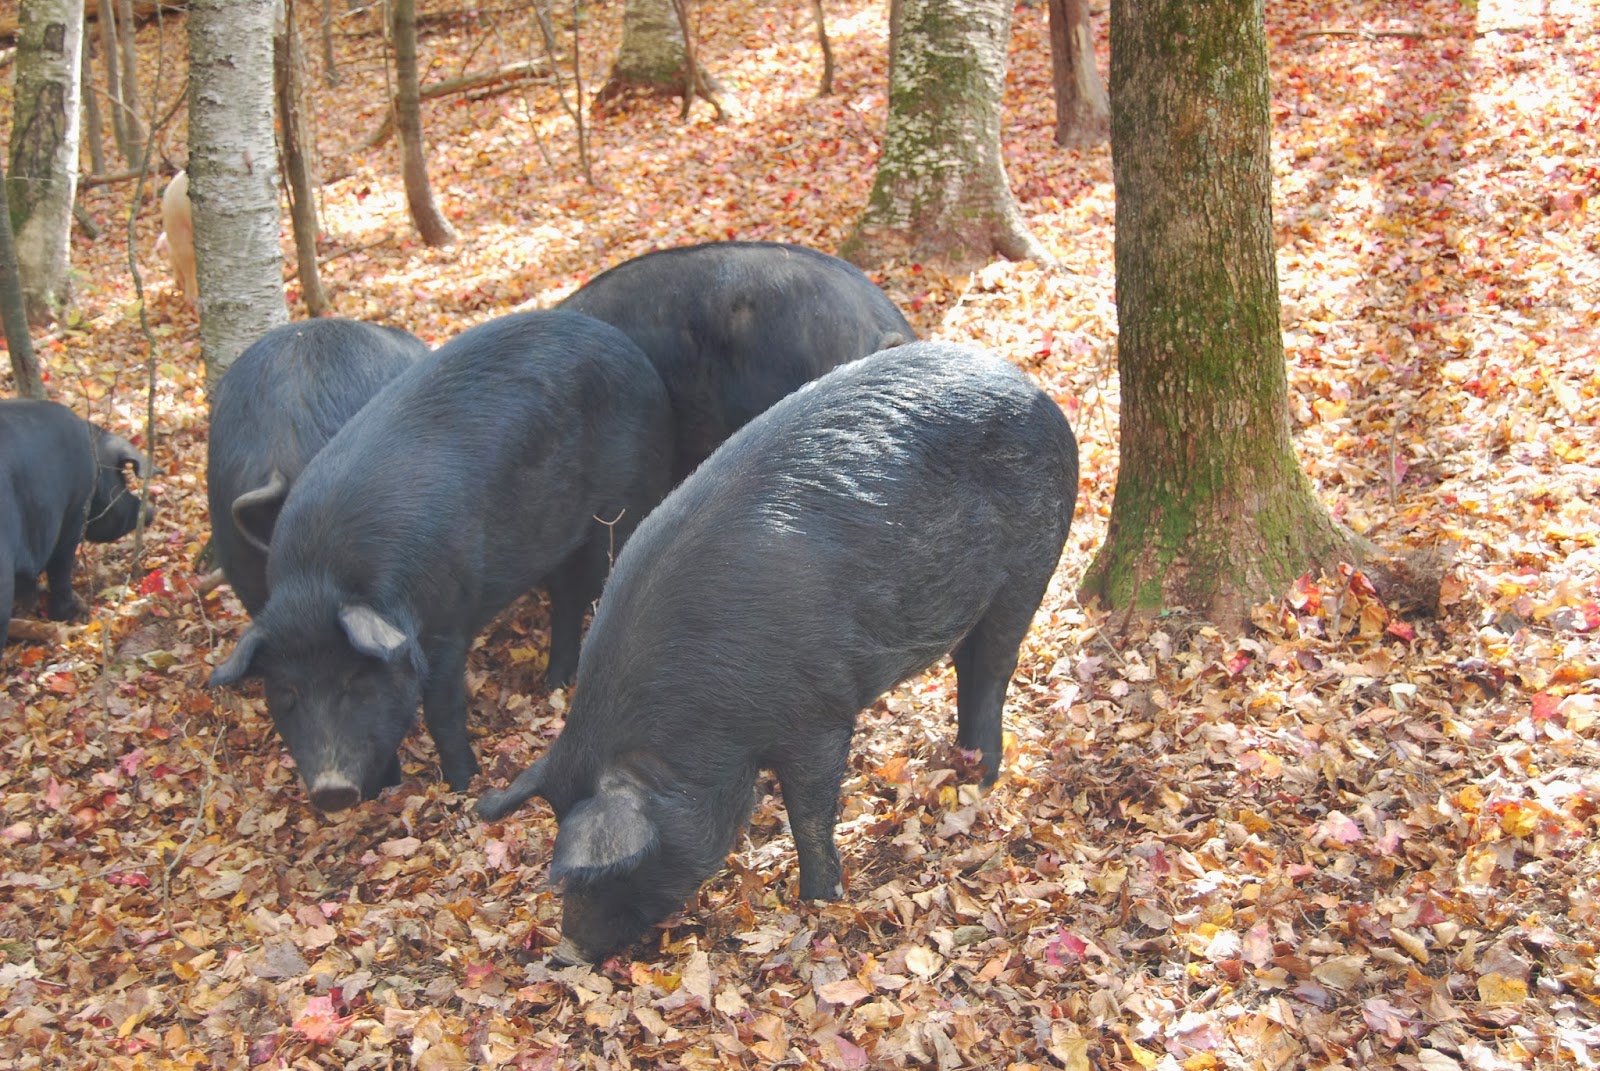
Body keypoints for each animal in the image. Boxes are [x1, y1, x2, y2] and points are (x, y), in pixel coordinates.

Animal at [475, 341, 1079, 963]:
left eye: (614, 869)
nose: (567, 950)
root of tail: (1030, 387)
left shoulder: (818, 713)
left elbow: (809, 812)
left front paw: (819, 901)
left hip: (1031, 566)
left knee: (993, 668)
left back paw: (977, 779)